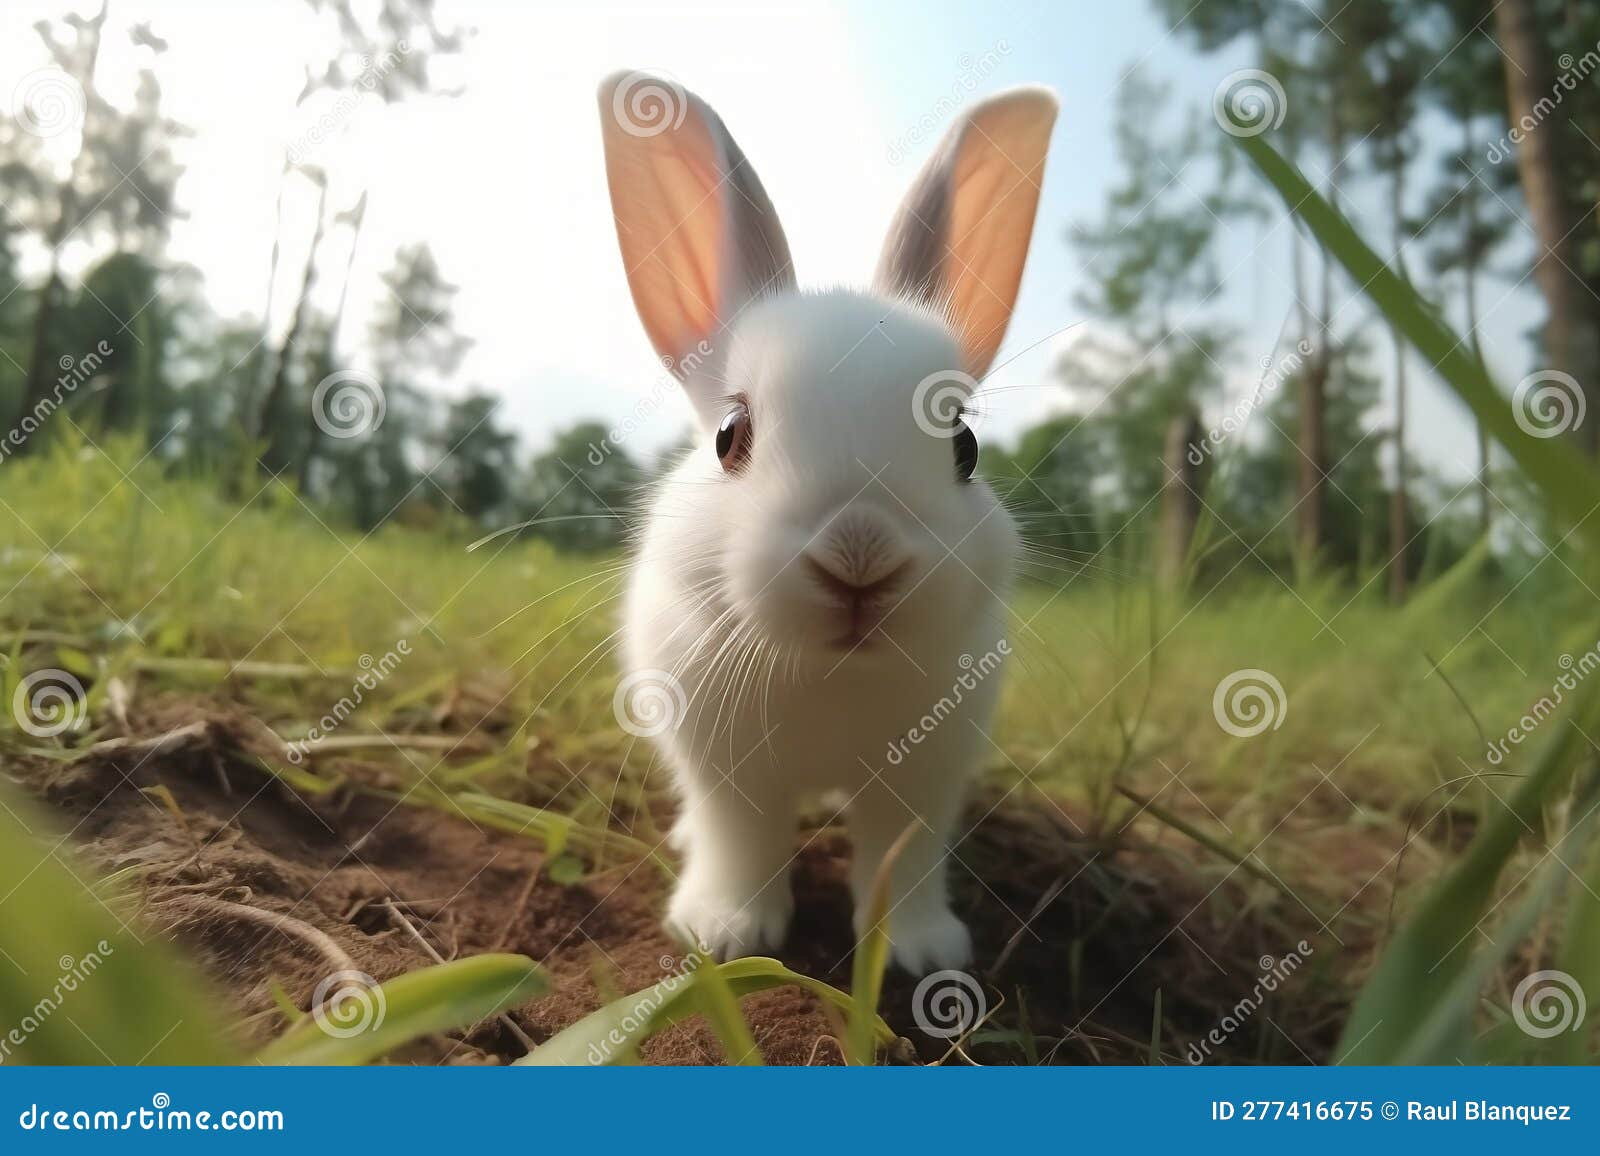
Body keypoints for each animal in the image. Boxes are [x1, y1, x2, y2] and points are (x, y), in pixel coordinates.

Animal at [597, 71, 1056, 974]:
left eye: (965, 446)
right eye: (729, 437)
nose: (860, 553)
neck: (832, 671)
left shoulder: (924, 783)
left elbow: (901, 862)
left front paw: (926, 953)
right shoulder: (728, 778)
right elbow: (742, 844)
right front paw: (724, 932)